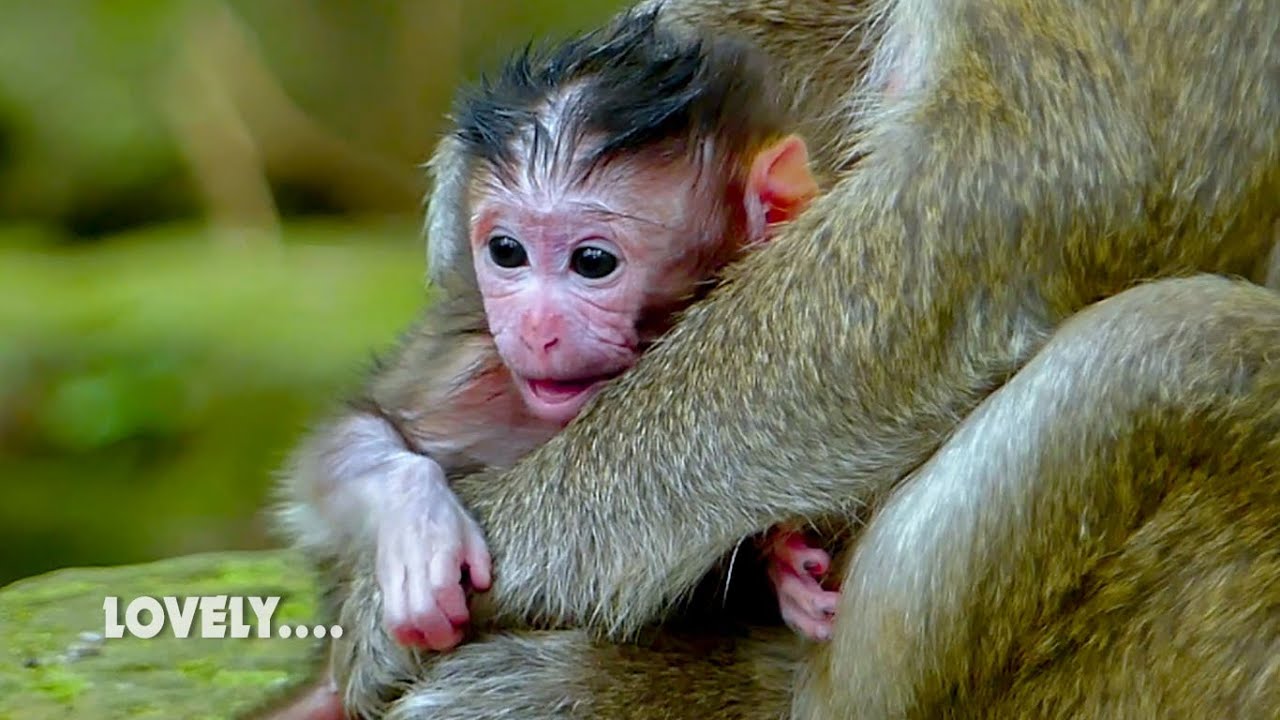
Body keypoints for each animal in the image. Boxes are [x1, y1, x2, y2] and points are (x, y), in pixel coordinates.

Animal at [301, 0, 1280, 716]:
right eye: (505, 253)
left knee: (1180, 346)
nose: (532, 325)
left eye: (593, 264)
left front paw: (504, 555)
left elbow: (1069, 164)